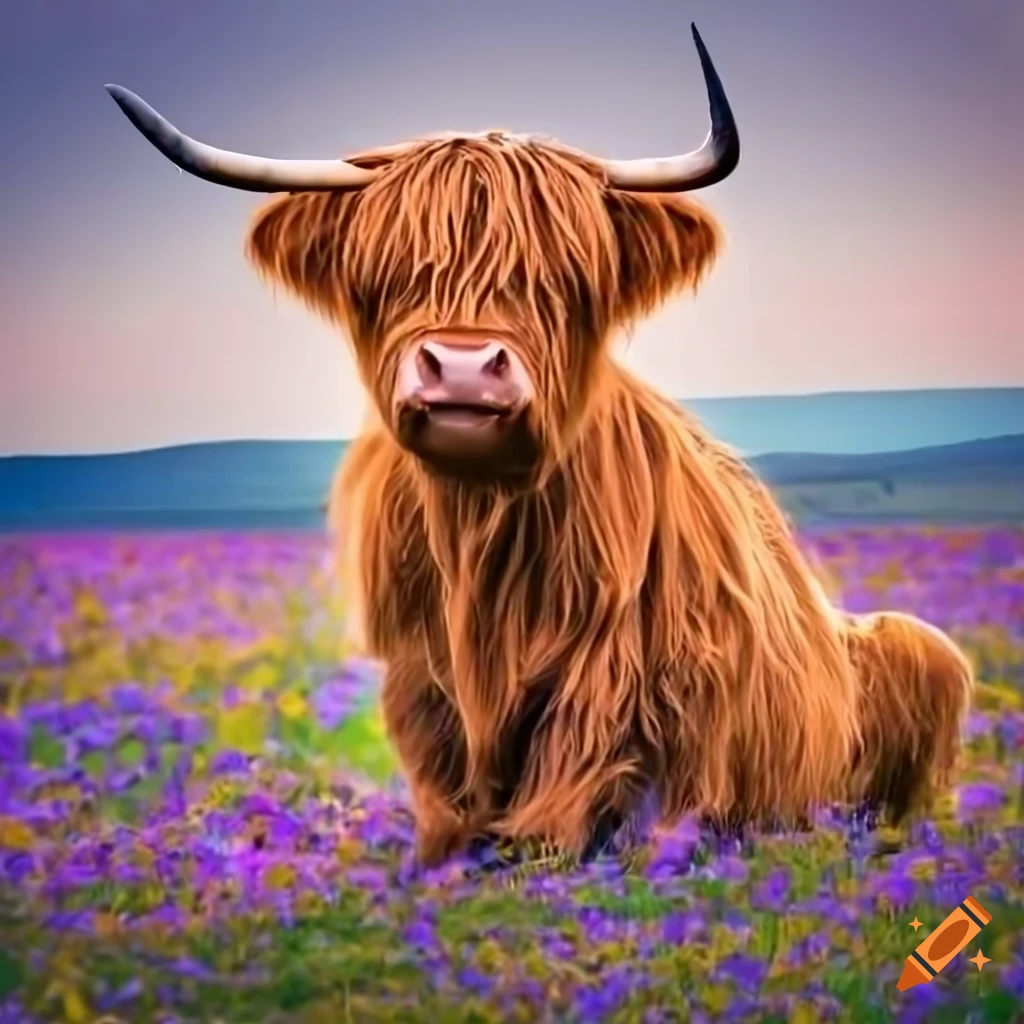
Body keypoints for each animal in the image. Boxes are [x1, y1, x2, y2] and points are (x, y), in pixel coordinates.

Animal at [107, 24, 973, 866]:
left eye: (559, 277)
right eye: (388, 272)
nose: (461, 368)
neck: (484, 536)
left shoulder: (617, 666)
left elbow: (574, 766)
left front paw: (537, 849)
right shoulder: (419, 667)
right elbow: (443, 782)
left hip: (916, 650)